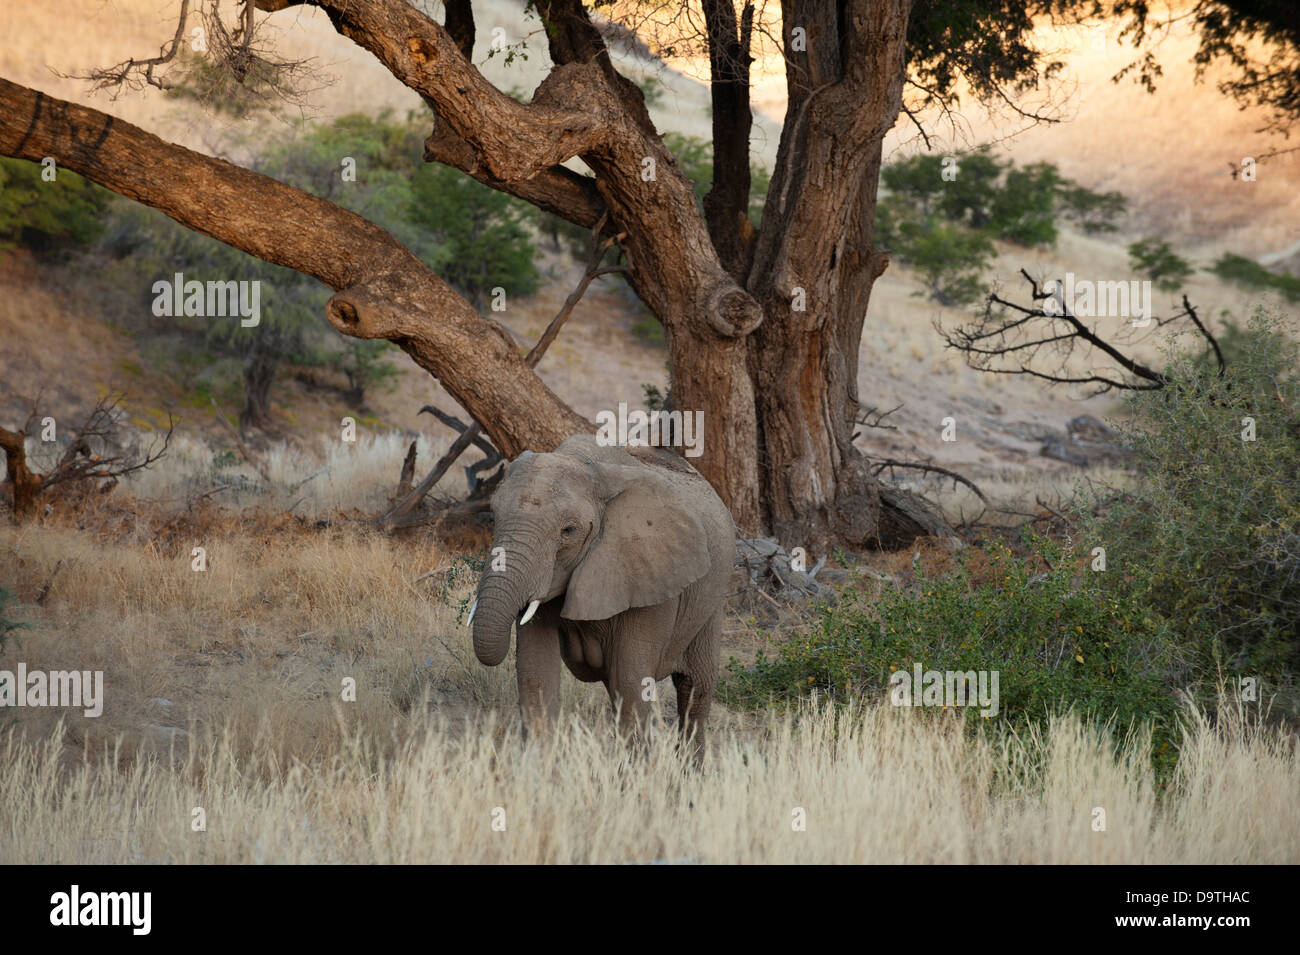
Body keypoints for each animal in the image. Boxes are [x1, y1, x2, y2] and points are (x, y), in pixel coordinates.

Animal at [467, 433, 735, 754]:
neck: (591, 469)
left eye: (569, 531)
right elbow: (535, 674)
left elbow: (631, 684)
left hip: (712, 599)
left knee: (694, 687)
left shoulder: (651, 578)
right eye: (494, 516)